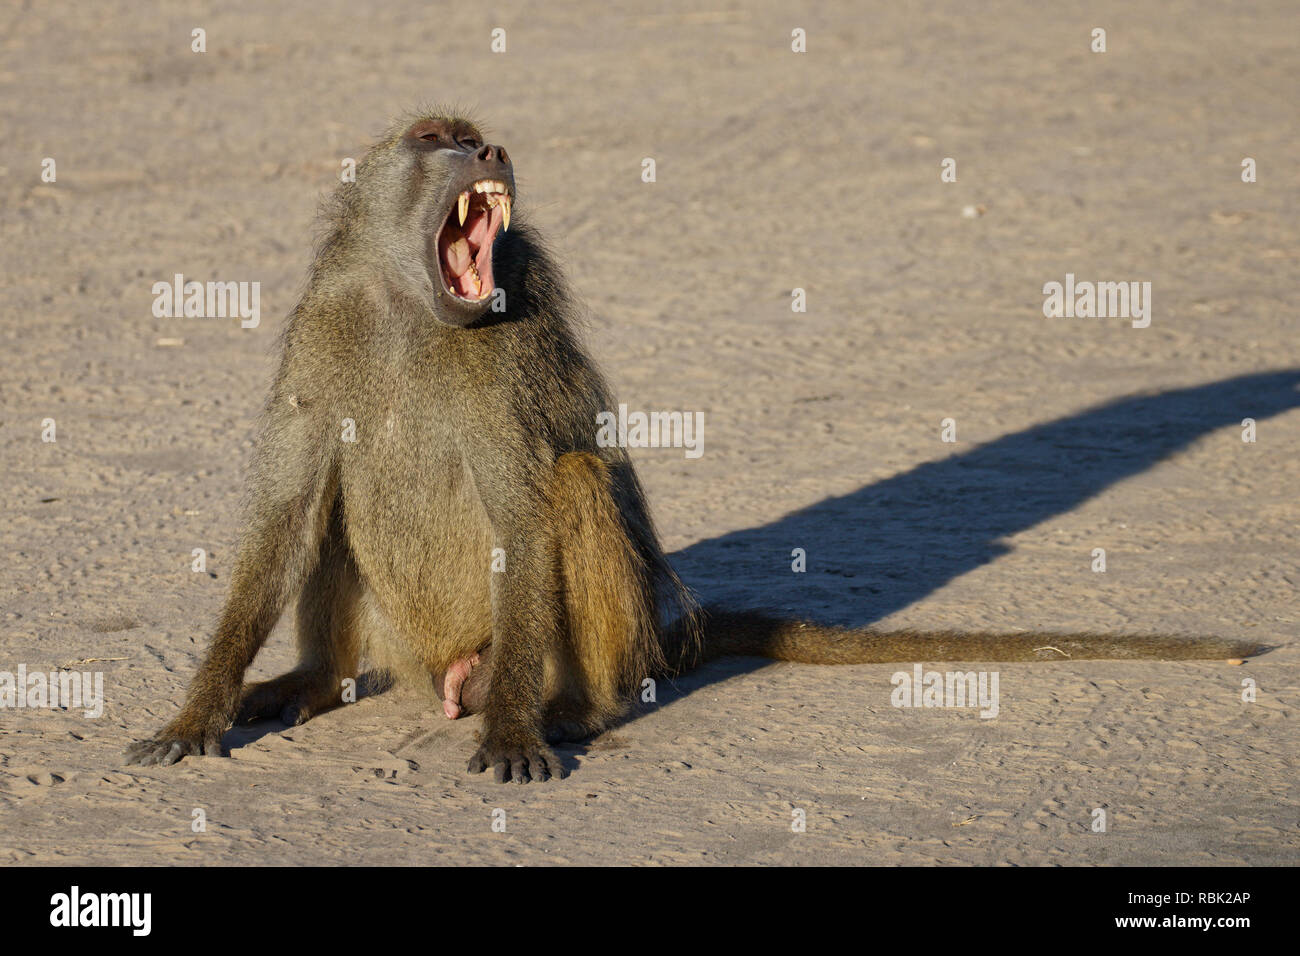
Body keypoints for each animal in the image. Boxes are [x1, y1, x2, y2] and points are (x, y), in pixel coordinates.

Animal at [124, 110, 1264, 783]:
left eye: (481, 137)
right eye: (442, 136)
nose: (490, 153)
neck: (412, 312)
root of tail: (448, 663)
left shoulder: (506, 352)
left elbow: (526, 508)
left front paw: (512, 735)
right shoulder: (329, 328)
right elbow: (287, 508)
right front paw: (198, 713)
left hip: (538, 638)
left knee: (575, 483)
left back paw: (565, 709)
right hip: (406, 637)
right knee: (334, 505)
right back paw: (315, 683)